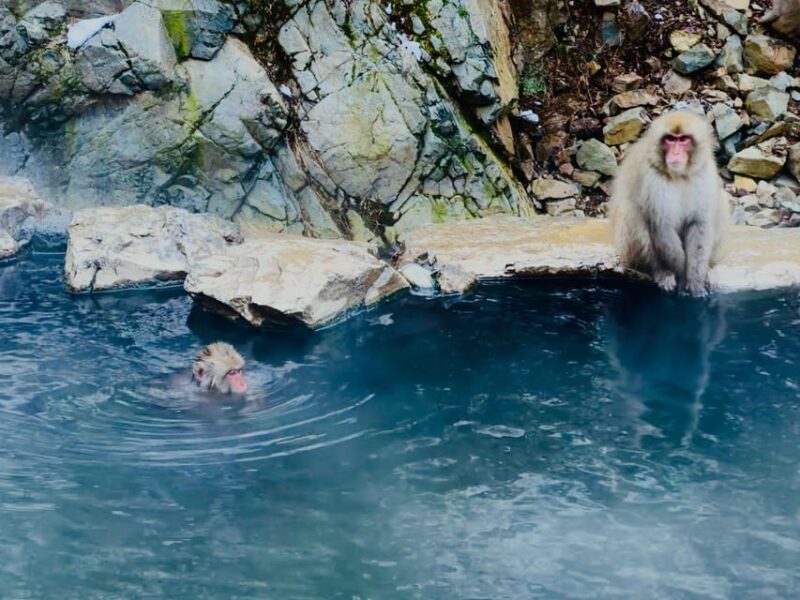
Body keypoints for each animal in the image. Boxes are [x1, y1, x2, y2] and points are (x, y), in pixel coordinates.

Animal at [610, 111, 729, 297]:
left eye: (683, 140)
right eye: (670, 139)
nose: (676, 153)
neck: (679, 175)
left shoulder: (704, 173)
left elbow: (700, 223)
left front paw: (696, 281)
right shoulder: (652, 179)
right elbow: (661, 225)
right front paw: (681, 278)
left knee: (722, 200)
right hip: (626, 249)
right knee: (630, 211)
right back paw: (660, 271)